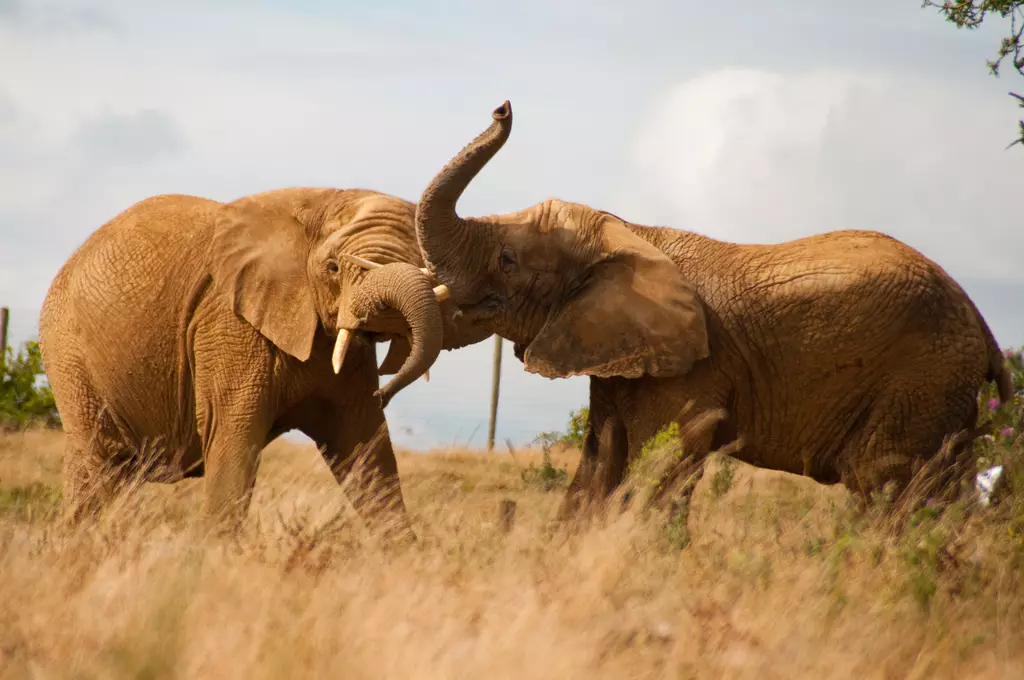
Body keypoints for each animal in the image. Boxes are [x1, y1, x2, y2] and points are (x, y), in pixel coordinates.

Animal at [38, 187, 487, 536]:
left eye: (426, 269)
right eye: (333, 268)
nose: (387, 390)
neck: (318, 202)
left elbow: (366, 447)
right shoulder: (228, 326)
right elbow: (234, 435)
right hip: (66, 348)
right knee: (99, 462)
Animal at [411, 99, 1011, 516]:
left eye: (508, 259)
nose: (503, 107)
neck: (626, 231)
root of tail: (981, 323)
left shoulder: (690, 370)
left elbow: (662, 464)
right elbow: (597, 469)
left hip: (921, 376)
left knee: (885, 485)